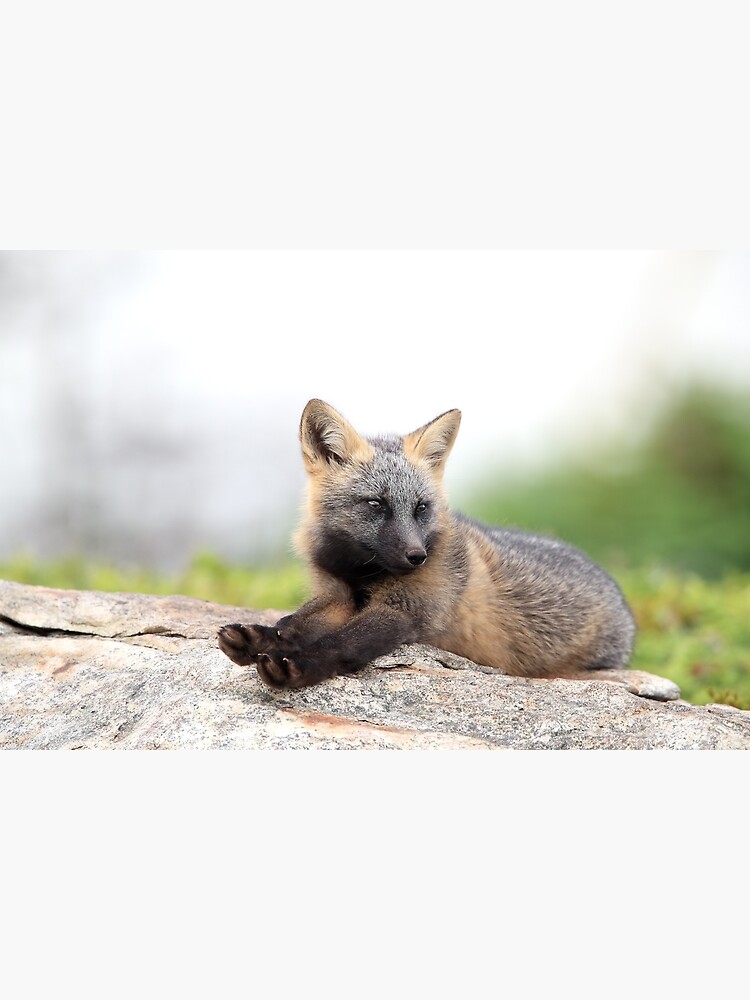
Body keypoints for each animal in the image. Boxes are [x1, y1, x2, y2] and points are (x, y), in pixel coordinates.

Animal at [217, 399, 636, 690]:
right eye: (376, 504)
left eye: (420, 507)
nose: (417, 556)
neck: (360, 573)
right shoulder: (334, 595)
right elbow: (291, 625)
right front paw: (259, 637)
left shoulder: (403, 609)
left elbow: (342, 644)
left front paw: (296, 667)